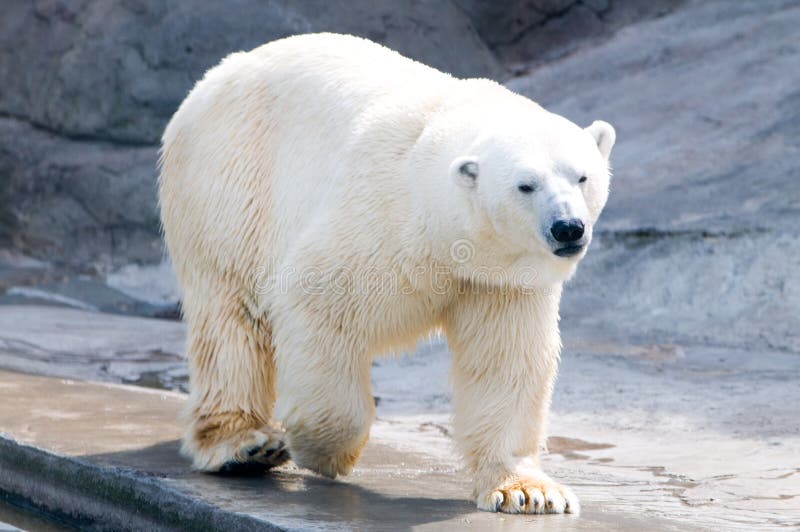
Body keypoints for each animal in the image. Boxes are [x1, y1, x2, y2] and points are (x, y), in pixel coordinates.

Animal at [159, 32, 614, 515]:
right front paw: (327, 451)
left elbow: (505, 358)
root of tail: (211, 80)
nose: (568, 227)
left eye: (582, 177)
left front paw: (529, 491)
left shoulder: (499, 279)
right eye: (525, 185)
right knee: (230, 317)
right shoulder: (378, 219)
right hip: (230, 183)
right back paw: (244, 445)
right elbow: (318, 300)